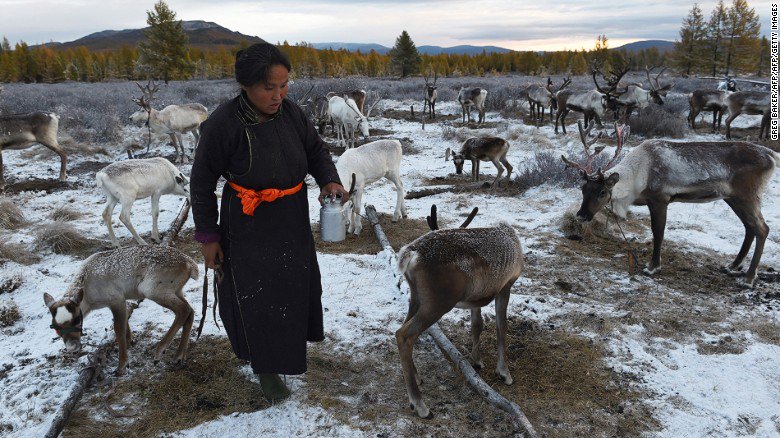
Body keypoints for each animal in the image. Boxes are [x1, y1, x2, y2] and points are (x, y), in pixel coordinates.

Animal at [43, 245, 197, 375]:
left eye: (77, 319)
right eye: (55, 327)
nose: (72, 348)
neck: (88, 296)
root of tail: (189, 264)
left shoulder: (116, 299)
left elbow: (118, 328)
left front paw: (122, 366)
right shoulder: (121, 300)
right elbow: (124, 324)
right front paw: (131, 341)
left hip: (152, 289)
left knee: (183, 310)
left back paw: (160, 350)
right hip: (176, 290)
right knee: (190, 310)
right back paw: (179, 356)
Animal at [396, 205, 524, 419]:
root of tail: (410, 255)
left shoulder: (476, 298)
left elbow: (477, 325)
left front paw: (476, 361)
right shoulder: (506, 285)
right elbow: (501, 328)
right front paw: (504, 372)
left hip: (416, 296)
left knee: (402, 328)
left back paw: (417, 378)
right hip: (439, 301)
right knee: (404, 334)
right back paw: (420, 405)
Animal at [562, 120, 779, 288]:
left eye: (602, 192)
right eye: (583, 189)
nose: (581, 215)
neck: (638, 175)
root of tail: (771, 155)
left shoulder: (660, 199)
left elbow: (658, 232)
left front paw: (652, 267)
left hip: (747, 196)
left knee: (762, 228)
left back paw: (748, 279)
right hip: (732, 198)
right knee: (749, 227)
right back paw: (732, 266)